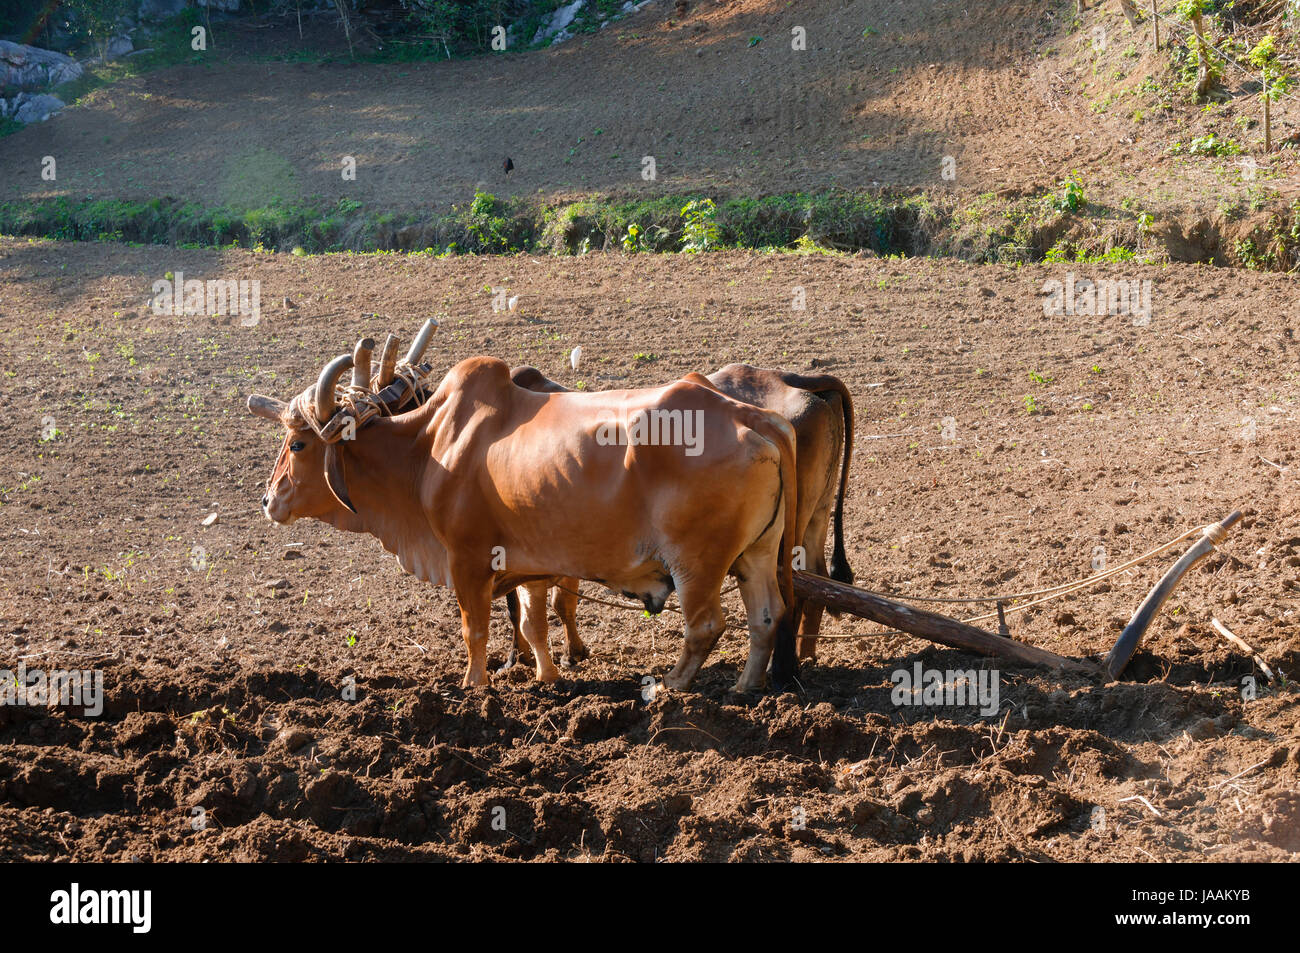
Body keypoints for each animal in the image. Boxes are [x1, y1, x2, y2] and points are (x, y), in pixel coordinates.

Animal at [247, 328, 802, 692]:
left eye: (297, 444)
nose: (269, 500)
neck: (429, 447)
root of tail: (749, 417)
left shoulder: (468, 559)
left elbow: (474, 628)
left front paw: (474, 686)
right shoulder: (534, 562)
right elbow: (535, 623)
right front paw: (546, 676)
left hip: (697, 562)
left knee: (706, 626)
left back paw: (671, 686)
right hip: (755, 554)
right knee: (767, 616)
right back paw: (745, 687)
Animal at [502, 363, 854, 669]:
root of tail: (794, 379)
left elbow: (552, 603)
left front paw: (567, 654)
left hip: (785, 534)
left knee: (792, 590)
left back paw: (783, 664)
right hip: (816, 514)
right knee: (816, 582)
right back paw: (805, 656)